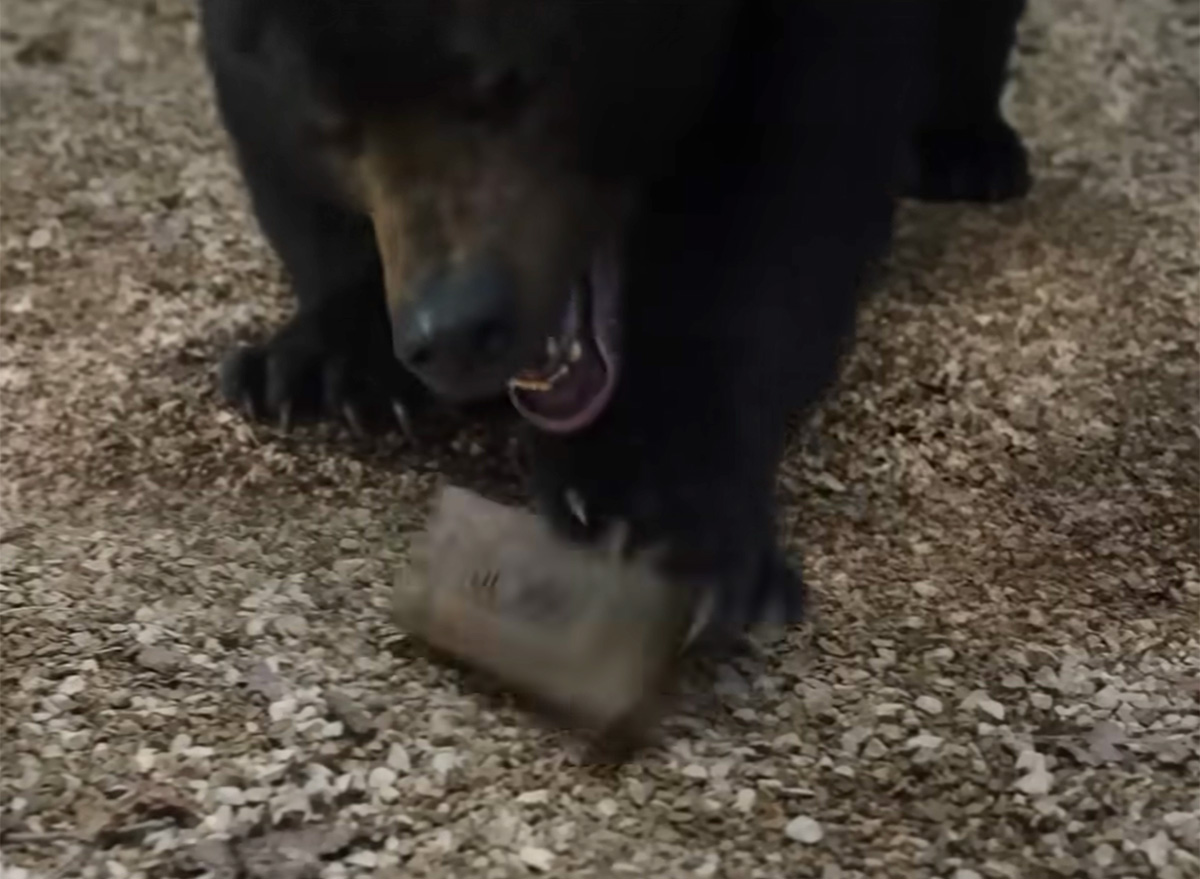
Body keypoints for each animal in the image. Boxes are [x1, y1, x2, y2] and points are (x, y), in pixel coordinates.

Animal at [197, 0, 1030, 641]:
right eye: (328, 125)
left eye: (510, 81)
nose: (459, 329)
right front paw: (320, 363)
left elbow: (784, 193)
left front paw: (657, 515)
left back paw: (968, 147)